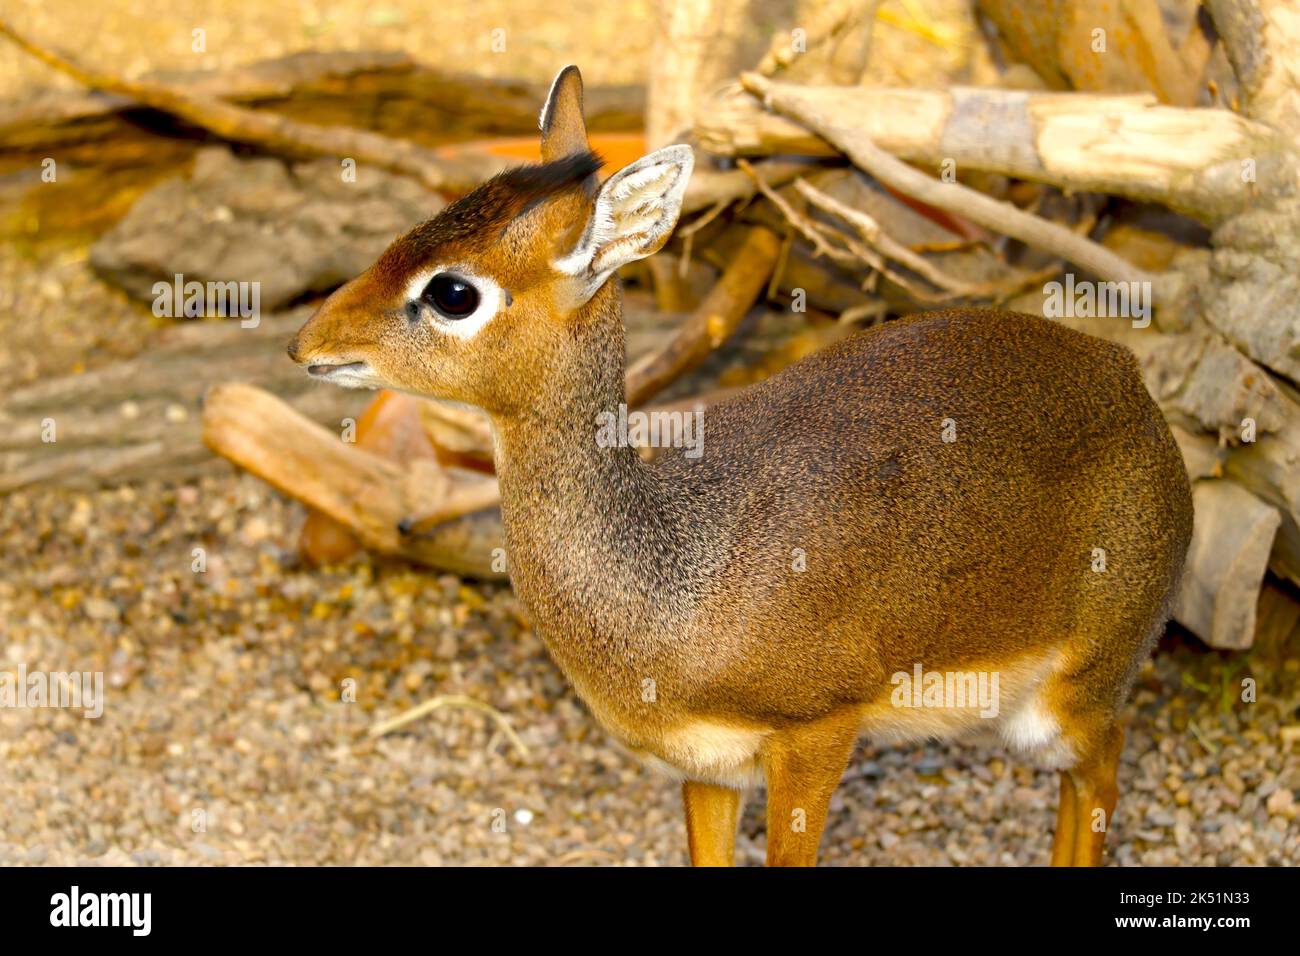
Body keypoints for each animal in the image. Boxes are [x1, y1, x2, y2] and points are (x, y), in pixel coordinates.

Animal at [289, 66, 1194, 866]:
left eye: (453, 292)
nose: (307, 343)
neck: (674, 583)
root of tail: (1130, 382)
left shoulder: (817, 734)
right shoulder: (705, 767)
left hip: (1072, 697)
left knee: (1104, 772)